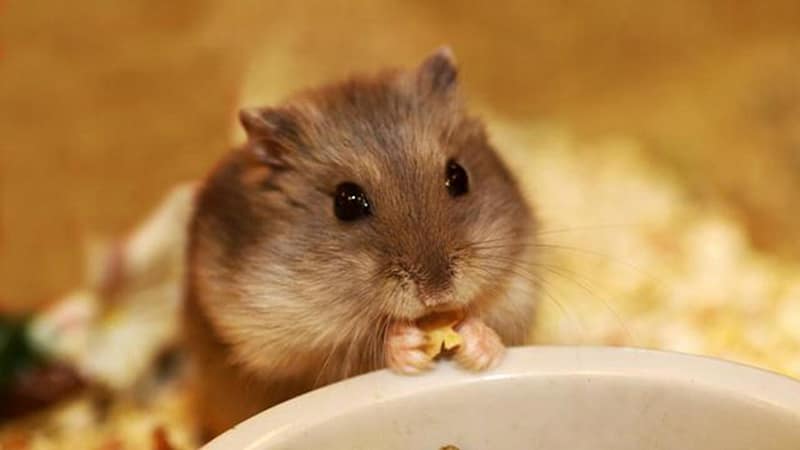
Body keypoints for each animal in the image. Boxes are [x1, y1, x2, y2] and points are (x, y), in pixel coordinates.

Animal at [183, 47, 538, 438]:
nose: (437, 293)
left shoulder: (519, 288)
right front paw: (407, 346)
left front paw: (479, 346)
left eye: (458, 176)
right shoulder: (292, 352)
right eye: (347, 202)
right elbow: (355, 352)